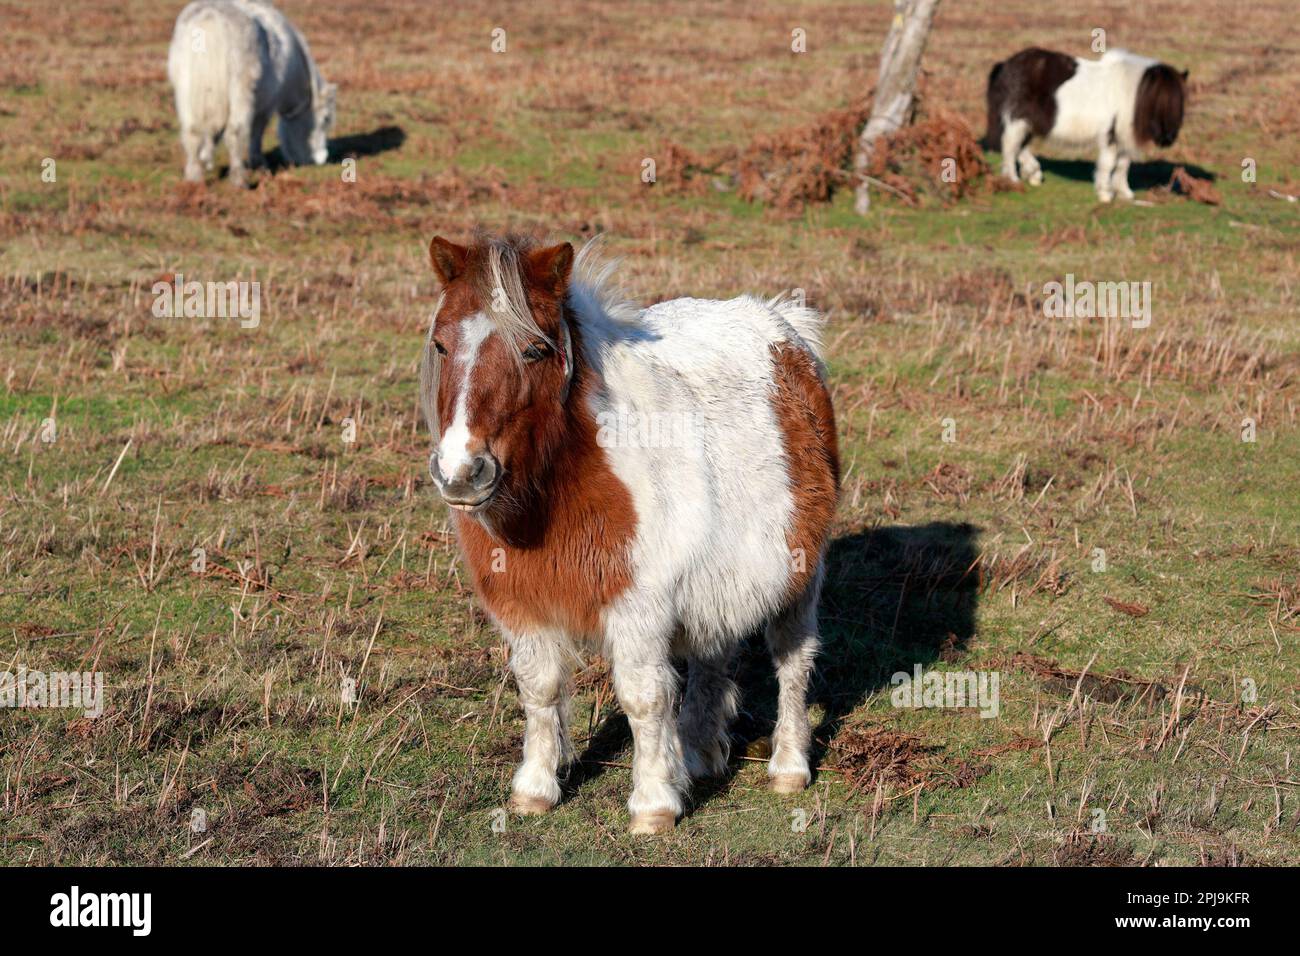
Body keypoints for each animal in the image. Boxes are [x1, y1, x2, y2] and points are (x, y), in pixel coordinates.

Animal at [167, 0, 337, 187]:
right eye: (326, 119)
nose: (321, 159)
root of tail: (210, 21)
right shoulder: (266, 106)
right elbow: (257, 133)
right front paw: (259, 164)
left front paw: (206, 160)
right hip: (240, 92)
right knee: (235, 132)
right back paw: (239, 180)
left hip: (186, 92)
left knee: (192, 132)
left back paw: (194, 177)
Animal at [418, 234, 839, 834]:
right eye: (441, 345)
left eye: (535, 350)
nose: (461, 472)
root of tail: (784, 327)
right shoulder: (523, 605)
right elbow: (539, 688)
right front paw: (535, 790)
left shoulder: (638, 607)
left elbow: (643, 699)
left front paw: (653, 806)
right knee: (712, 656)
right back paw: (699, 756)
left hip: (801, 574)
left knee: (793, 662)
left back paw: (787, 767)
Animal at [986, 47, 1188, 202]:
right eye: (1158, 100)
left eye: (1179, 103)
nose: (1167, 139)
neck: (1129, 92)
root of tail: (1005, 65)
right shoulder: (1110, 136)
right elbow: (1108, 164)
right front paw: (1105, 194)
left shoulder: (1123, 136)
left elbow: (1123, 165)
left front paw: (1124, 193)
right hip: (1016, 121)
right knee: (1010, 148)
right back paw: (1013, 181)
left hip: (1029, 123)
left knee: (1021, 147)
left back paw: (1034, 174)